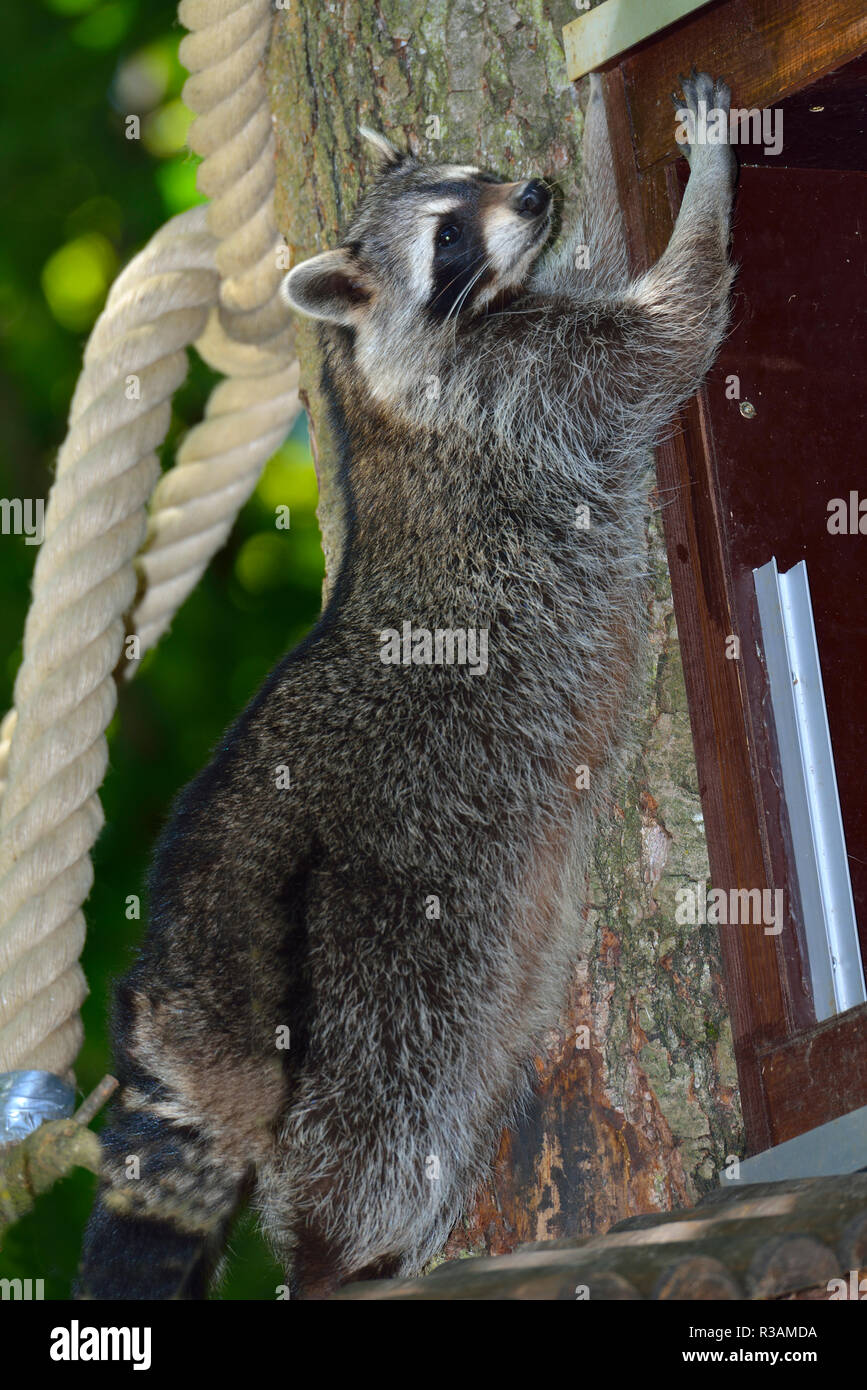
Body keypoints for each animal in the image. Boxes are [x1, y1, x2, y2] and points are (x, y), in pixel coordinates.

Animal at [76, 72, 736, 1299]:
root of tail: (182, 979)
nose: (532, 192)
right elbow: (669, 323)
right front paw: (700, 175)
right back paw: (344, 1251)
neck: (373, 369)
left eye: (474, 175)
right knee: (387, 1111)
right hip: (380, 940)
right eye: (446, 235)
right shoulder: (528, 392)